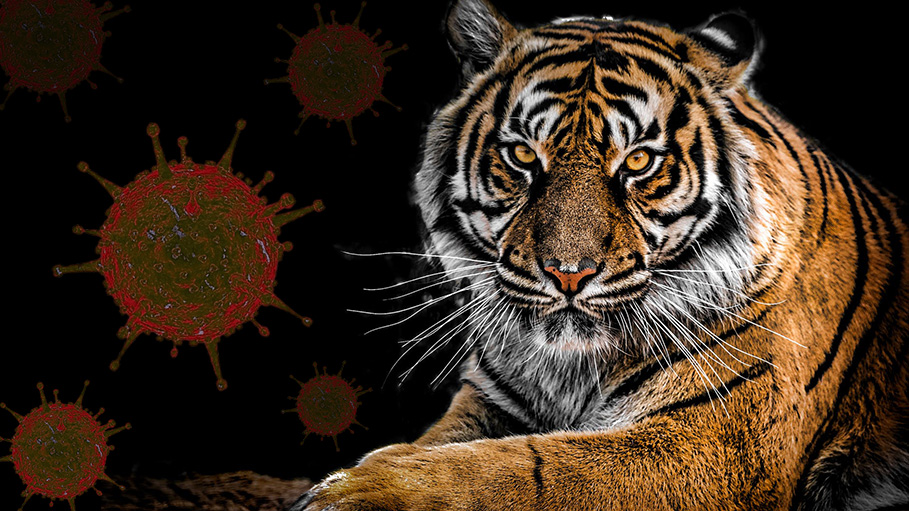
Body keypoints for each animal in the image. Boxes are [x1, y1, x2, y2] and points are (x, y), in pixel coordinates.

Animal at [293, 0, 909, 510]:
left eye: (637, 161)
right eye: (523, 156)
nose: (569, 275)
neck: (569, 368)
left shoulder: (713, 443)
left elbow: (524, 468)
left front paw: (355, 491)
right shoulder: (490, 400)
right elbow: (445, 443)